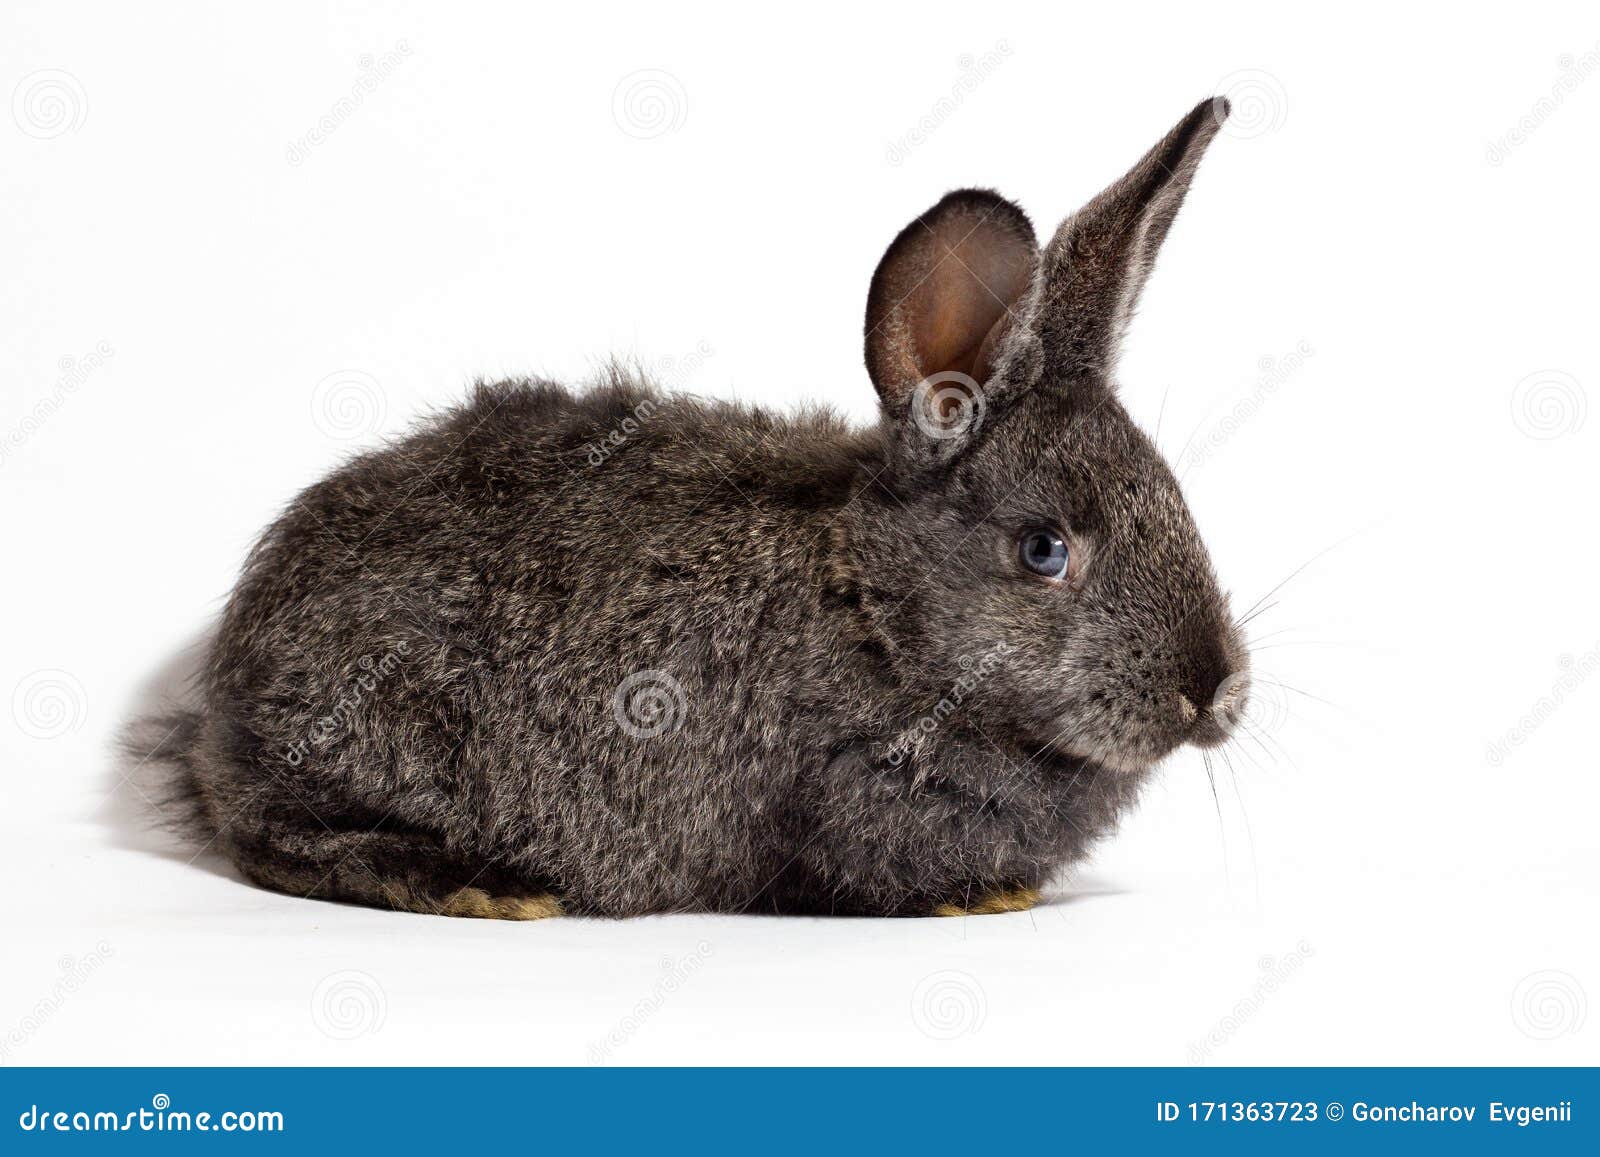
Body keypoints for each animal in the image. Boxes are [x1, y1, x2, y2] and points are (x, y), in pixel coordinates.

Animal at [139, 97, 1250, 919]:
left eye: (1176, 501)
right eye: (1043, 548)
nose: (1209, 689)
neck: (876, 612)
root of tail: (219, 700)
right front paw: (982, 898)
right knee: (270, 836)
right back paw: (482, 883)